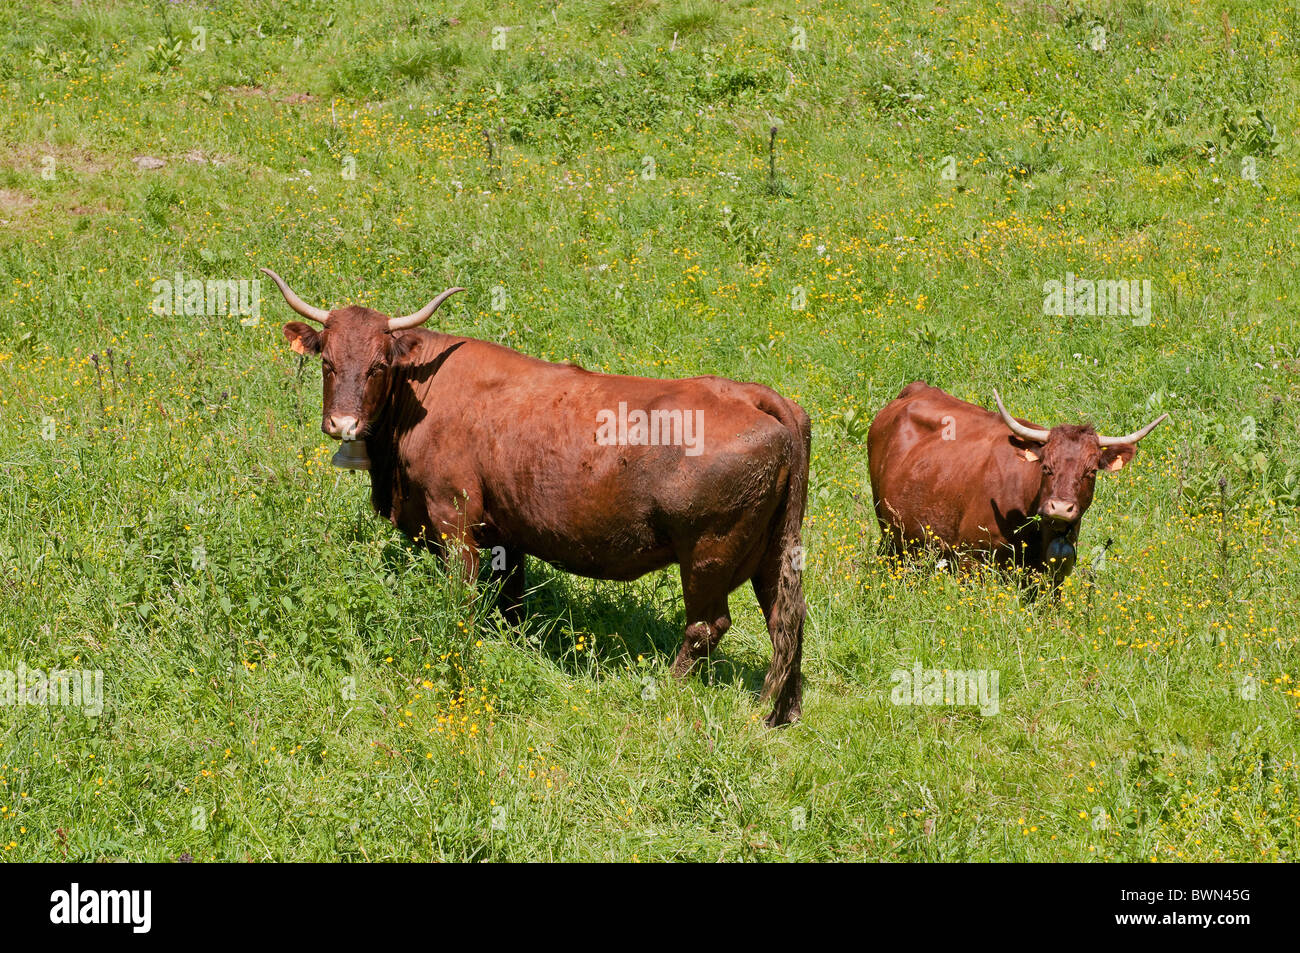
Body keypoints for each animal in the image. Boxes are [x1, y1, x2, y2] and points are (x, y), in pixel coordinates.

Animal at [261, 269, 811, 726]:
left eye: (378, 366)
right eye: (328, 362)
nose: (343, 424)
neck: (424, 394)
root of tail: (753, 395)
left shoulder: (453, 518)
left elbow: (462, 597)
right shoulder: (508, 532)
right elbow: (512, 602)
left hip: (707, 555)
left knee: (707, 626)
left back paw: (671, 691)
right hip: (774, 552)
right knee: (786, 619)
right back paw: (781, 710)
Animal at [868, 381, 1168, 585]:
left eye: (1091, 471)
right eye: (1046, 467)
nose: (1061, 508)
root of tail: (917, 389)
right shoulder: (969, 559)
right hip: (889, 528)